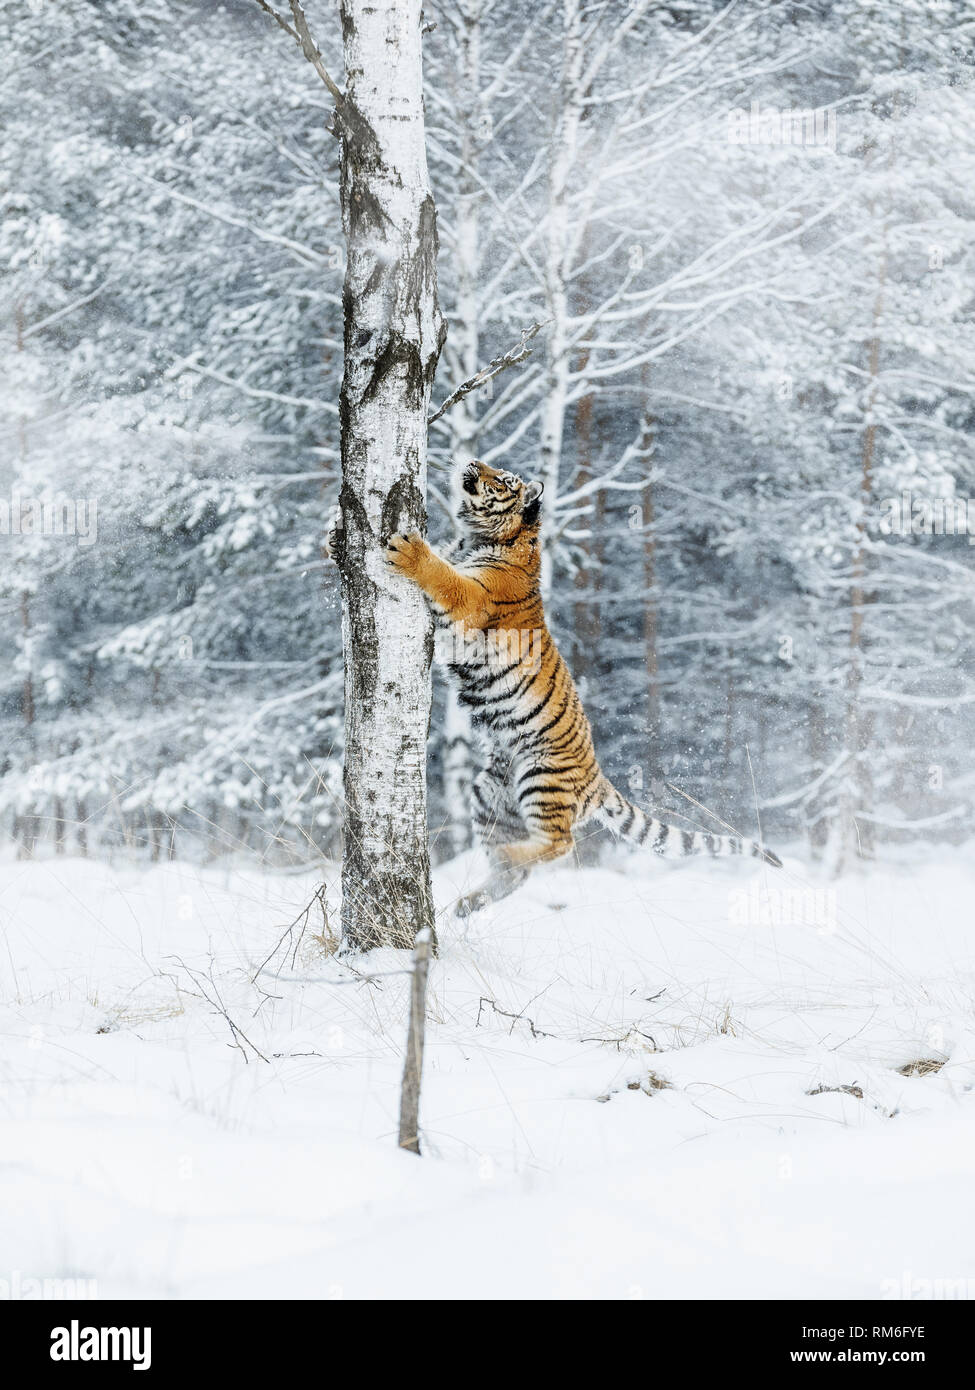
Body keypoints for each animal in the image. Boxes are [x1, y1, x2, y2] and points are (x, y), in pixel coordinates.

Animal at [383, 458, 781, 917]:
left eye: (502, 480)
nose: (471, 462)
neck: (482, 537)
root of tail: (598, 777)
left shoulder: (472, 597)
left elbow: (443, 575)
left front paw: (410, 551)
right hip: (490, 795)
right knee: (516, 873)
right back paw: (468, 902)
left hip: (542, 779)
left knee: (560, 844)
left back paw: (502, 864)